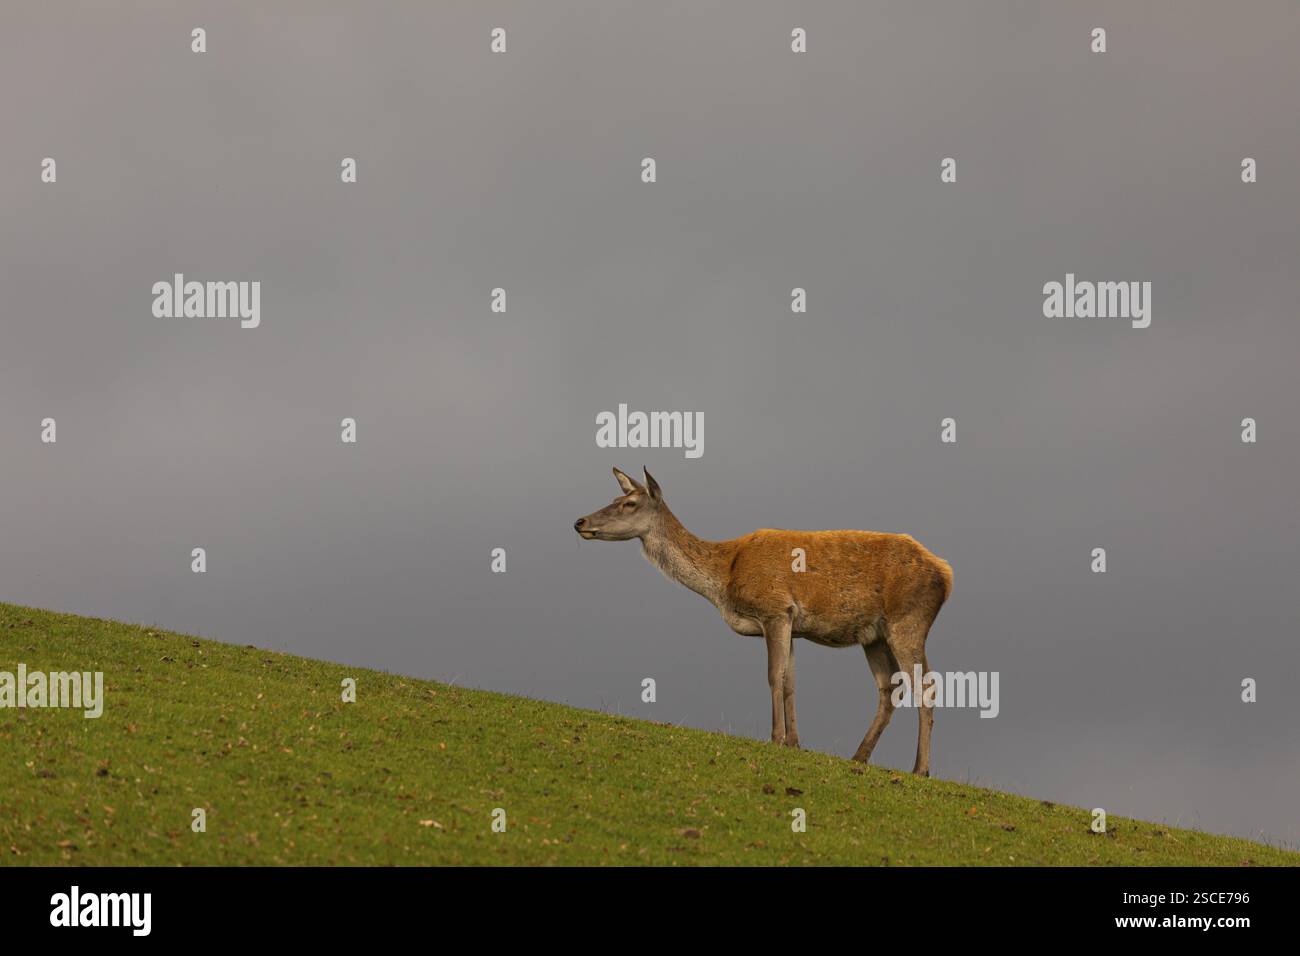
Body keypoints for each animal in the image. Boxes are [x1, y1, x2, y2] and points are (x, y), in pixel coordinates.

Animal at [574, 467, 953, 775]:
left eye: (629, 504)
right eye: (615, 498)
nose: (580, 522)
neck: (724, 579)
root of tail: (946, 575)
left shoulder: (775, 609)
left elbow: (773, 676)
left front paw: (776, 738)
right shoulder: (791, 625)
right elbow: (790, 681)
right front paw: (795, 742)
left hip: (908, 621)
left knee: (926, 685)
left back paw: (920, 769)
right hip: (873, 635)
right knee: (889, 688)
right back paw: (859, 757)